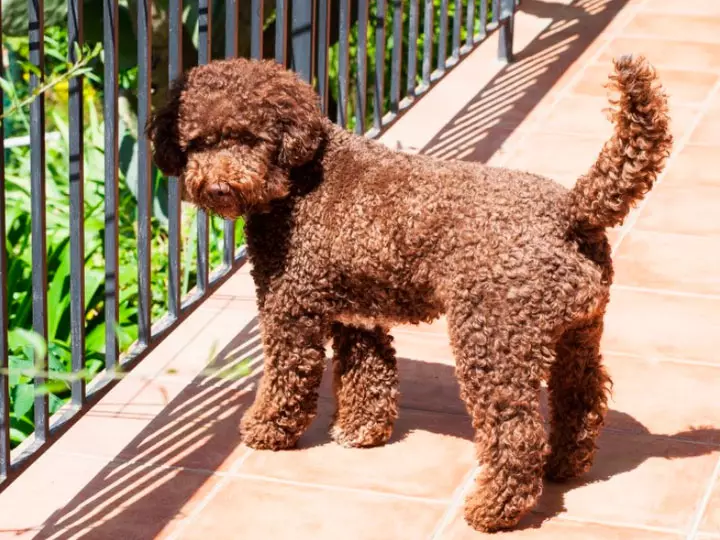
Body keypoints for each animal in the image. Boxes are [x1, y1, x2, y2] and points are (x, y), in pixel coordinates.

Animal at [149, 56, 672, 532]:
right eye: (197, 142)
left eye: (248, 138)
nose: (217, 185)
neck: (301, 178)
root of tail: (571, 210)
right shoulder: (355, 313)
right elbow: (367, 375)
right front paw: (361, 429)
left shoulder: (290, 307)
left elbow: (286, 378)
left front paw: (266, 429)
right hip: (577, 334)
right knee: (580, 398)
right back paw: (565, 465)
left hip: (493, 341)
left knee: (516, 433)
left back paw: (493, 508)